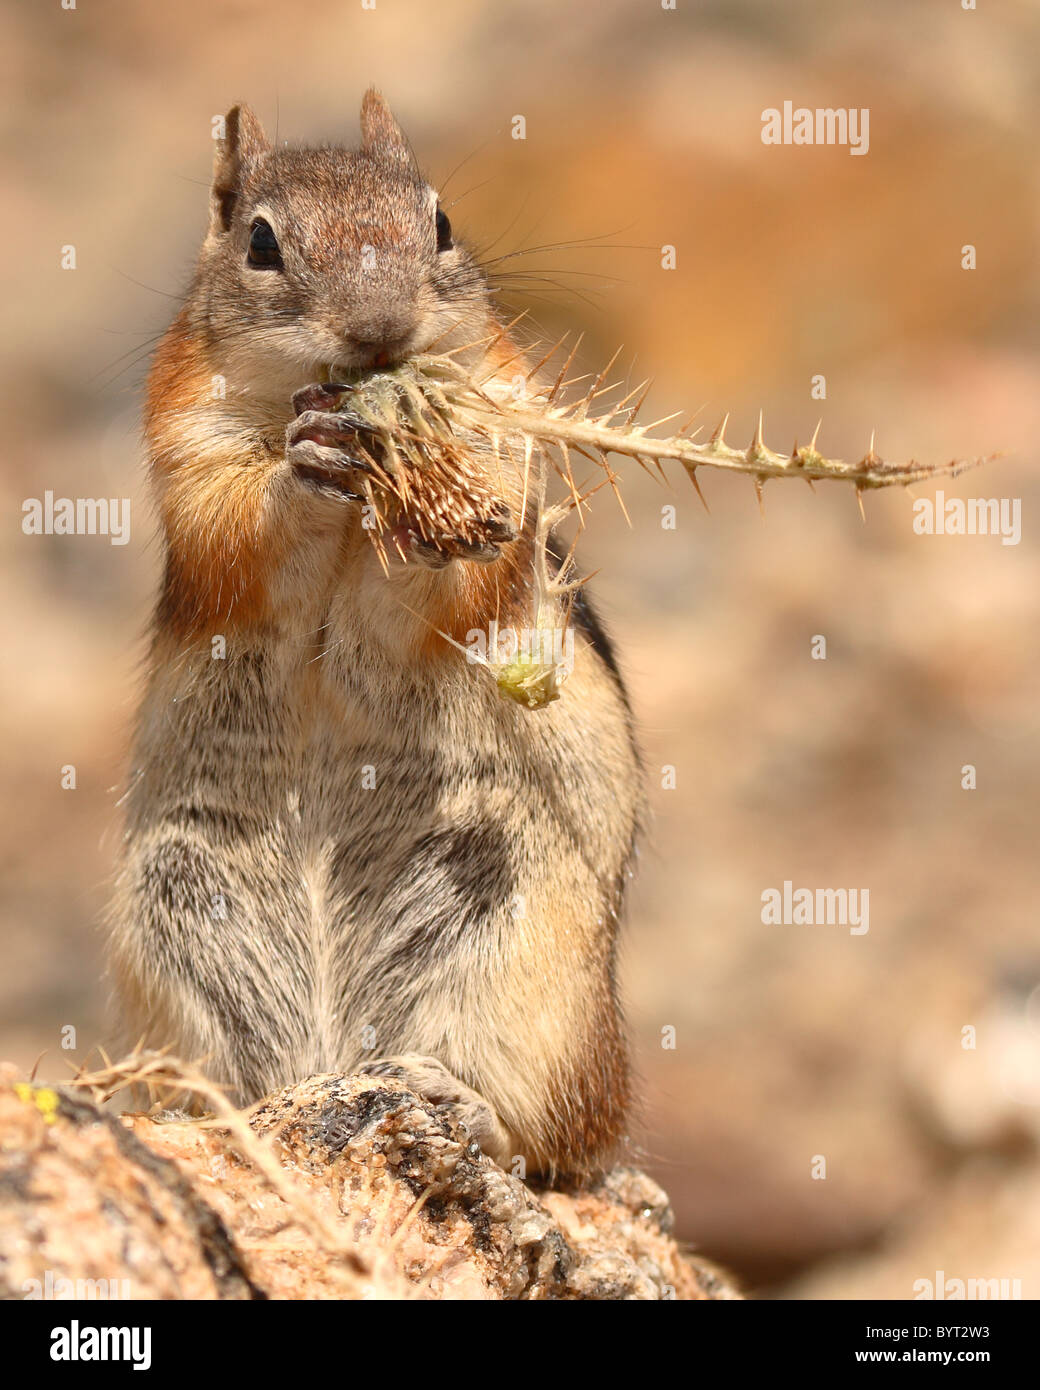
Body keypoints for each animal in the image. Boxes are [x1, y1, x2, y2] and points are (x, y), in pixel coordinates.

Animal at [107, 90, 645, 1179]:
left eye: (440, 223)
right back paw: (215, 1111)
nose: (380, 327)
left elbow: (458, 587)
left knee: (556, 1138)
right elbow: (232, 525)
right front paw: (303, 463)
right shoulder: (187, 445)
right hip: (173, 907)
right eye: (261, 242)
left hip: (532, 972)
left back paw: (459, 1108)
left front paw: (431, 524)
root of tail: (330, 1051)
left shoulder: (502, 429)